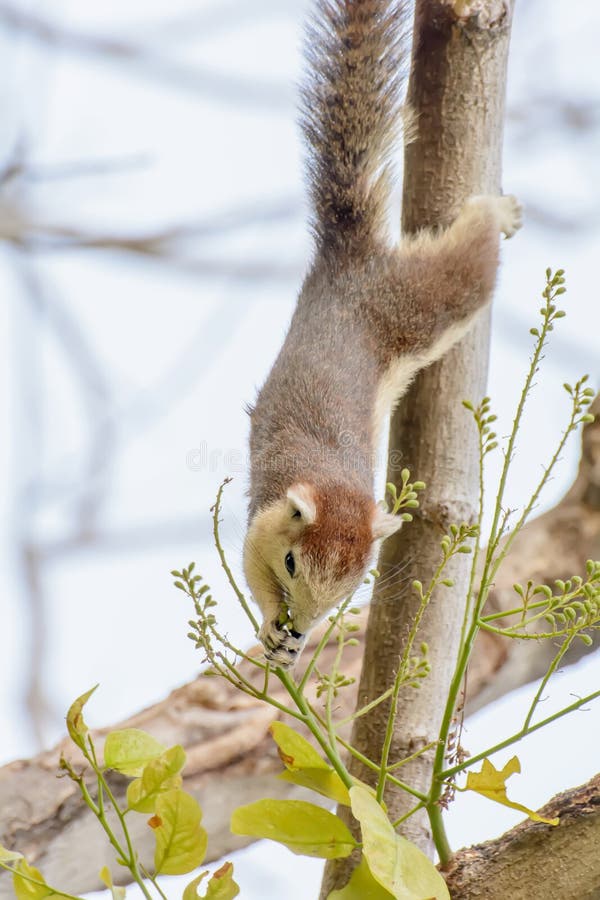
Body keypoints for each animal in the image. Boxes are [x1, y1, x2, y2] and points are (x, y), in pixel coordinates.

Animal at [243, 0, 522, 668]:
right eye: (292, 562)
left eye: (356, 582)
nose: (301, 625)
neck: (330, 477)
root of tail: (351, 262)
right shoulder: (261, 519)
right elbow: (250, 570)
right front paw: (272, 631)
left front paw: (292, 641)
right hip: (419, 307)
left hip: (419, 310)